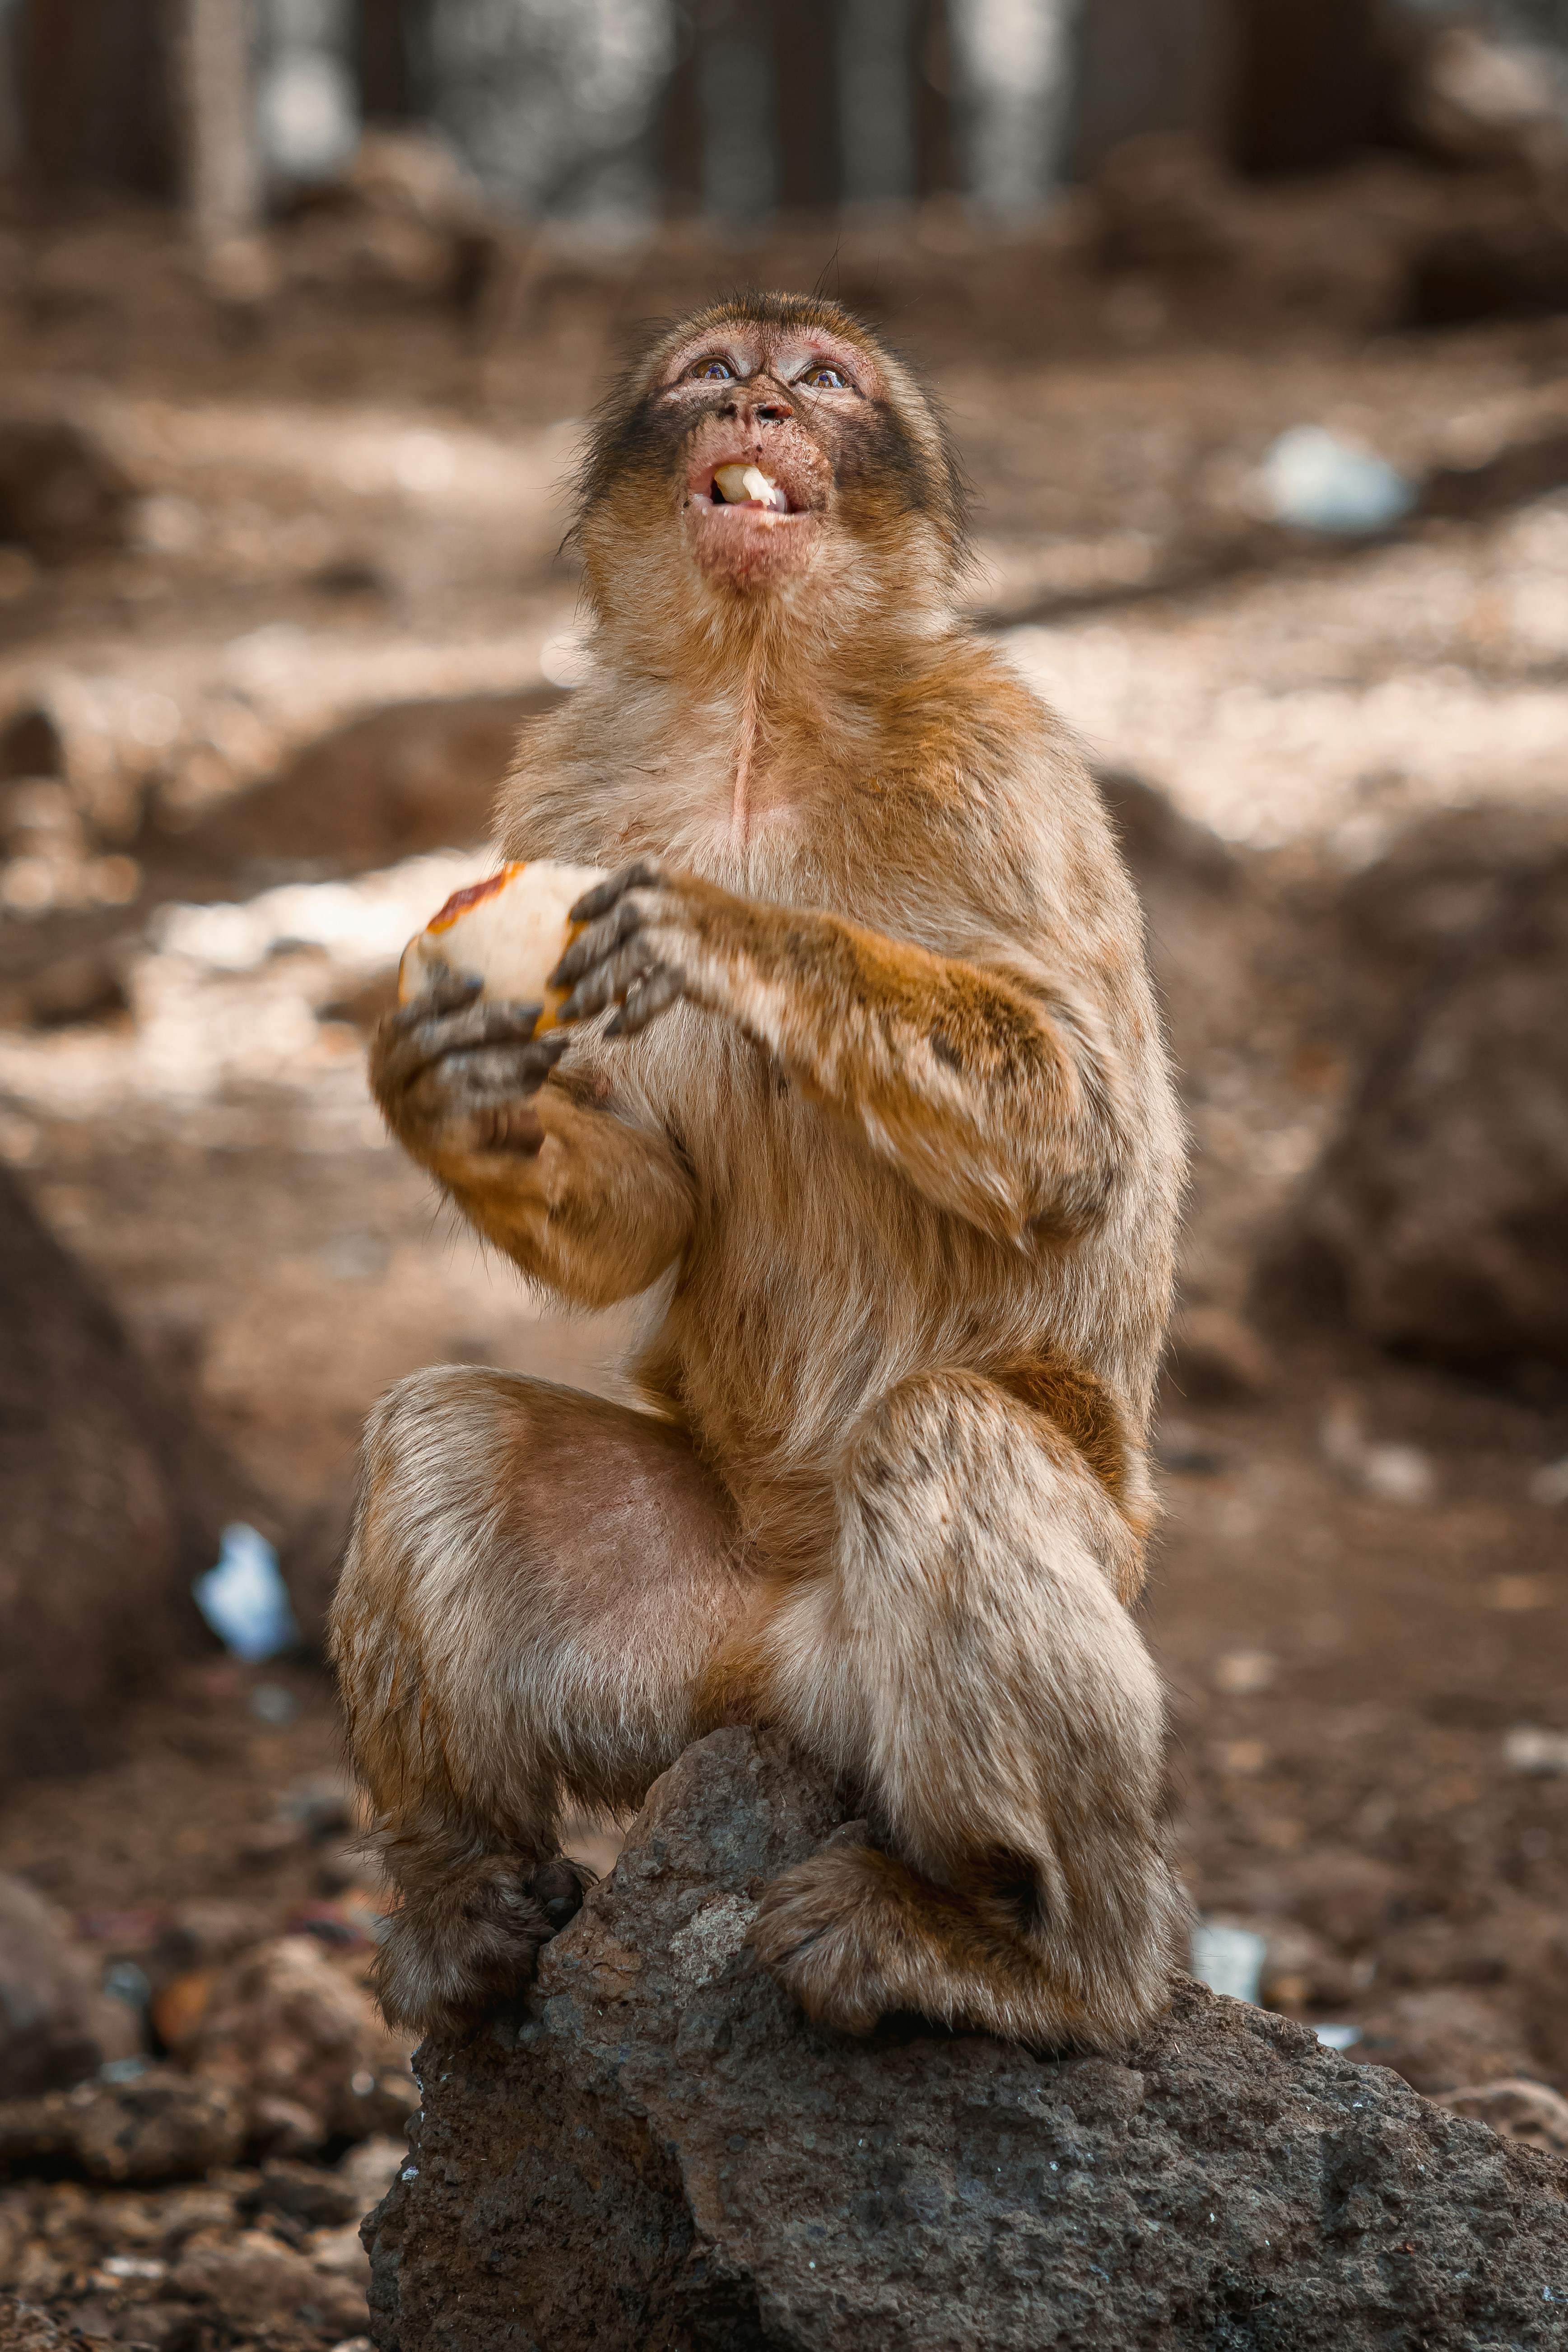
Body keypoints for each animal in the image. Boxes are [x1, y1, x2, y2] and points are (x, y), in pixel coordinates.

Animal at [330, 290, 1190, 2051]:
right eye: (712, 374)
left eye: (821, 383)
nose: (758, 405)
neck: (750, 698)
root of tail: (788, 1659)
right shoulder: (559, 781)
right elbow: (650, 1205)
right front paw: (443, 1088)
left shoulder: (1001, 758)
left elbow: (1083, 1139)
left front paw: (731, 934)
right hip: (678, 1649)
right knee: (442, 1430)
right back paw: (459, 1894)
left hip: (1024, 1600)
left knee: (950, 1435)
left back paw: (1048, 1961)